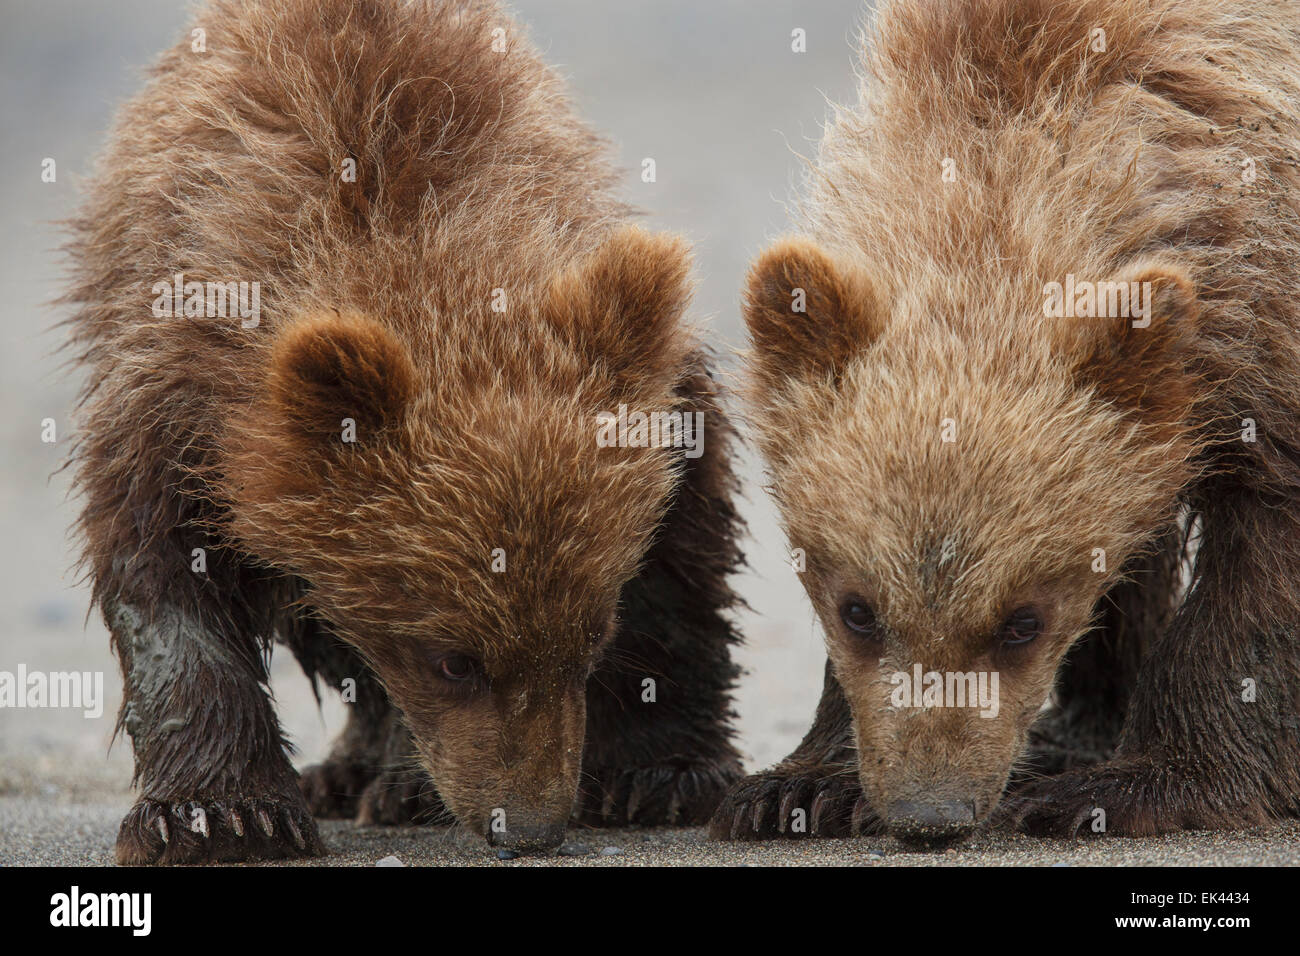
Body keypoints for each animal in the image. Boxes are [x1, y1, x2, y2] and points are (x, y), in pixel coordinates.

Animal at [62, 0, 744, 863]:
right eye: (453, 659)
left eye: (592, 634)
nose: (530, 824)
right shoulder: (171, 396)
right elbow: (164, 586)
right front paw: (222, 815)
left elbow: (681, 559)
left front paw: (658, 772)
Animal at [712, 0, 1300, 845]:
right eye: (857, 610)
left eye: (1022, 620)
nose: (931, 813)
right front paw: (803, 786)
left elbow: (1259, 583)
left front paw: (1128, 783)